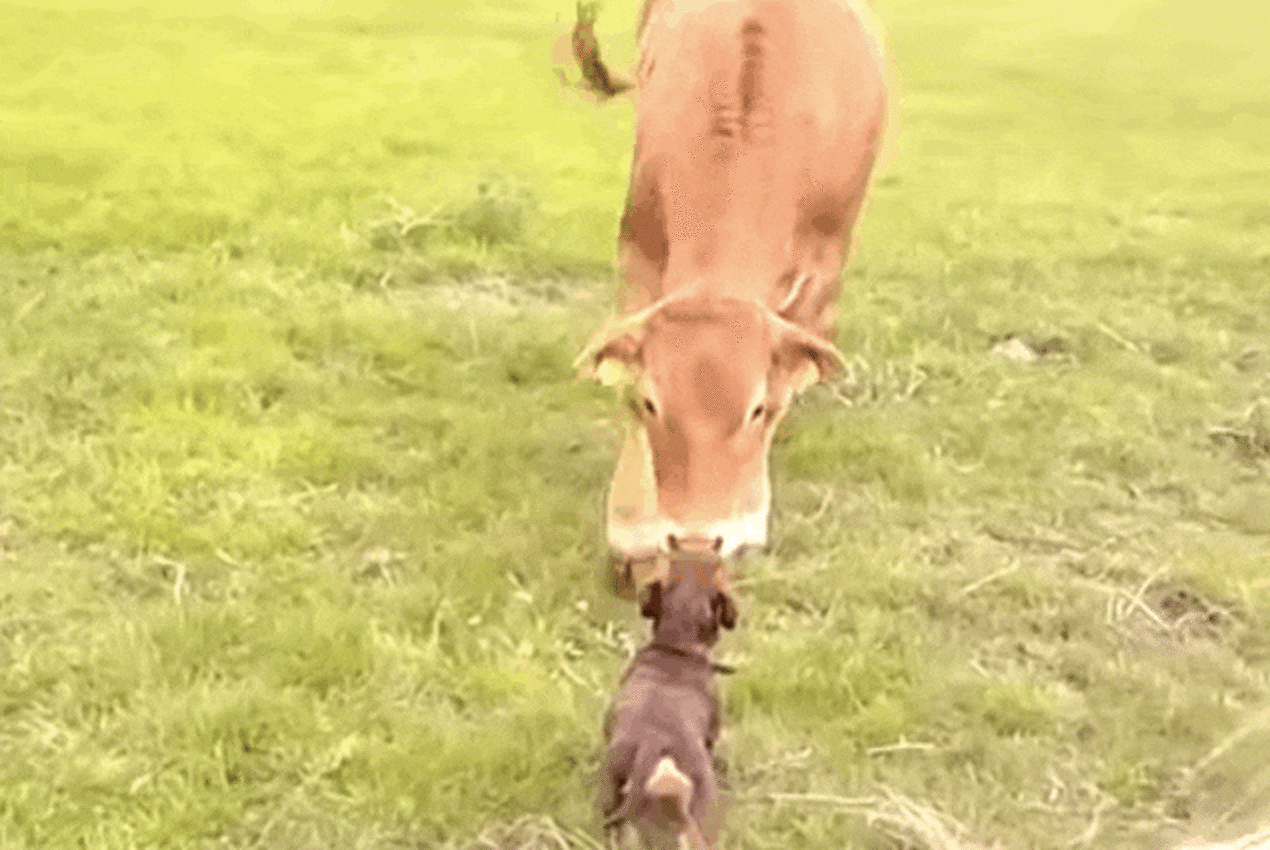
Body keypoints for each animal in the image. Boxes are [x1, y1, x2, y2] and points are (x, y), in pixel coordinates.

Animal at [573, 0, 889, 561]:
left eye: (756, 409)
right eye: (653, 403)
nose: (697, 537)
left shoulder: (825, 264)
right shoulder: (639, 242)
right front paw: (633, 521)